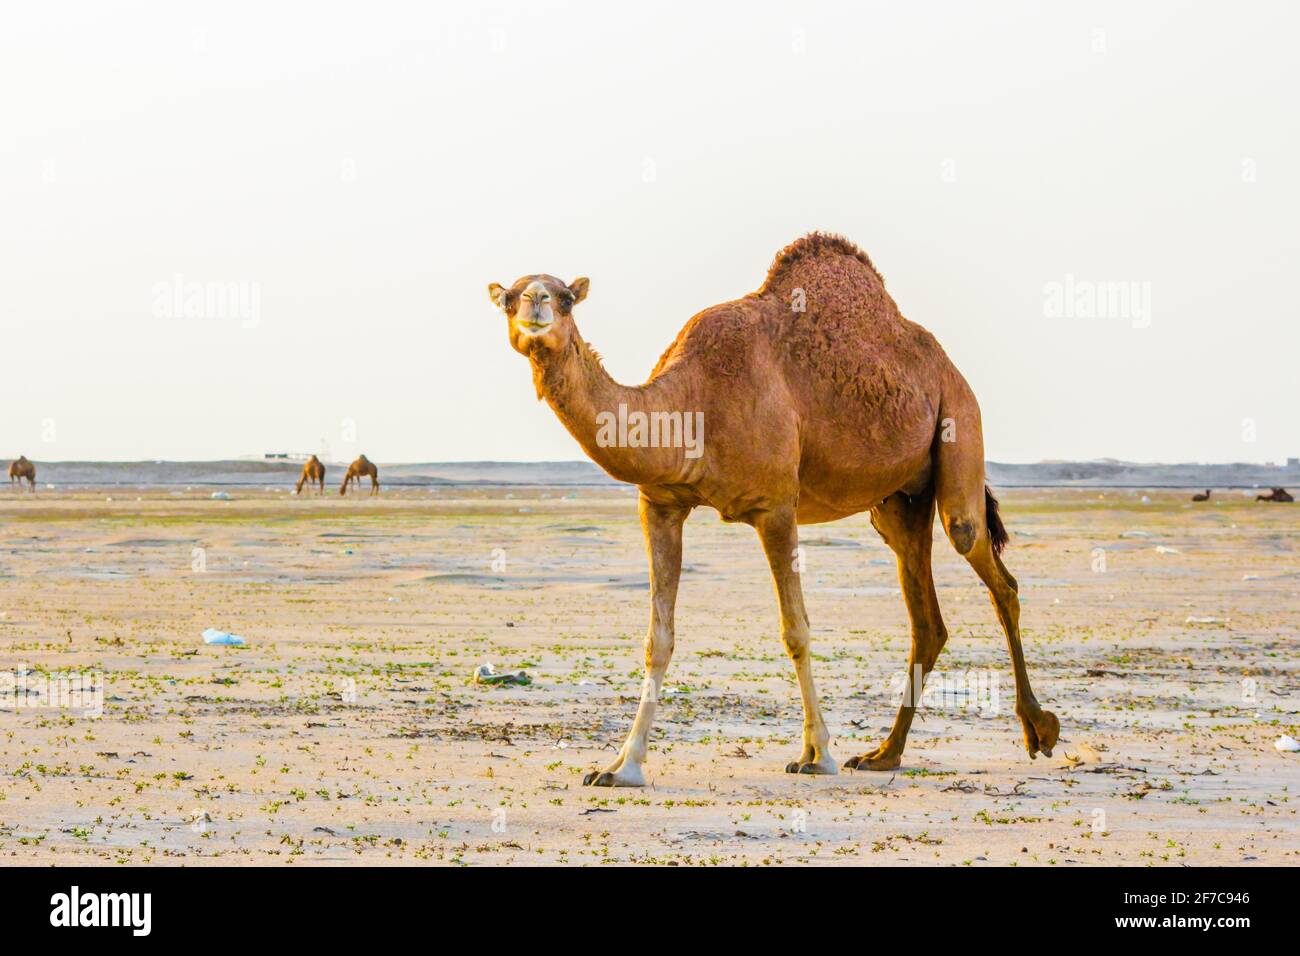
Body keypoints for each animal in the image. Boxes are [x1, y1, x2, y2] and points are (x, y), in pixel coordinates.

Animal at [488, 232, 1059, 787]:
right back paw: (883, 755)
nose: (536, 303)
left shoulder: (777, 506)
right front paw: (621, 767)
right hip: (899, 501)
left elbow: (795, 631)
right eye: (509, 297)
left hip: (959, 422)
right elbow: (658, 638)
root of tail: (945, 363)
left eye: (565, 296)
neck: (693, 402)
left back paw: (1040, 730)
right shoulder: (661, 504)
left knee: (984, 559)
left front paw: (819, 755)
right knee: (927, 619)